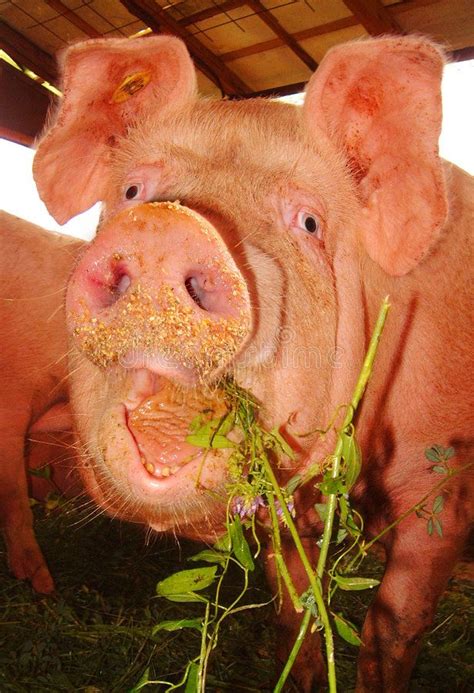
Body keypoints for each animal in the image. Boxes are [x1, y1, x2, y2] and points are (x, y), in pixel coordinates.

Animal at [32, 35, 473, 691]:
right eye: (131, 193)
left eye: (310, 222)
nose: (165, 229)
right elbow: (296, 614)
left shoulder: (439, 488)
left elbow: (392, 630)